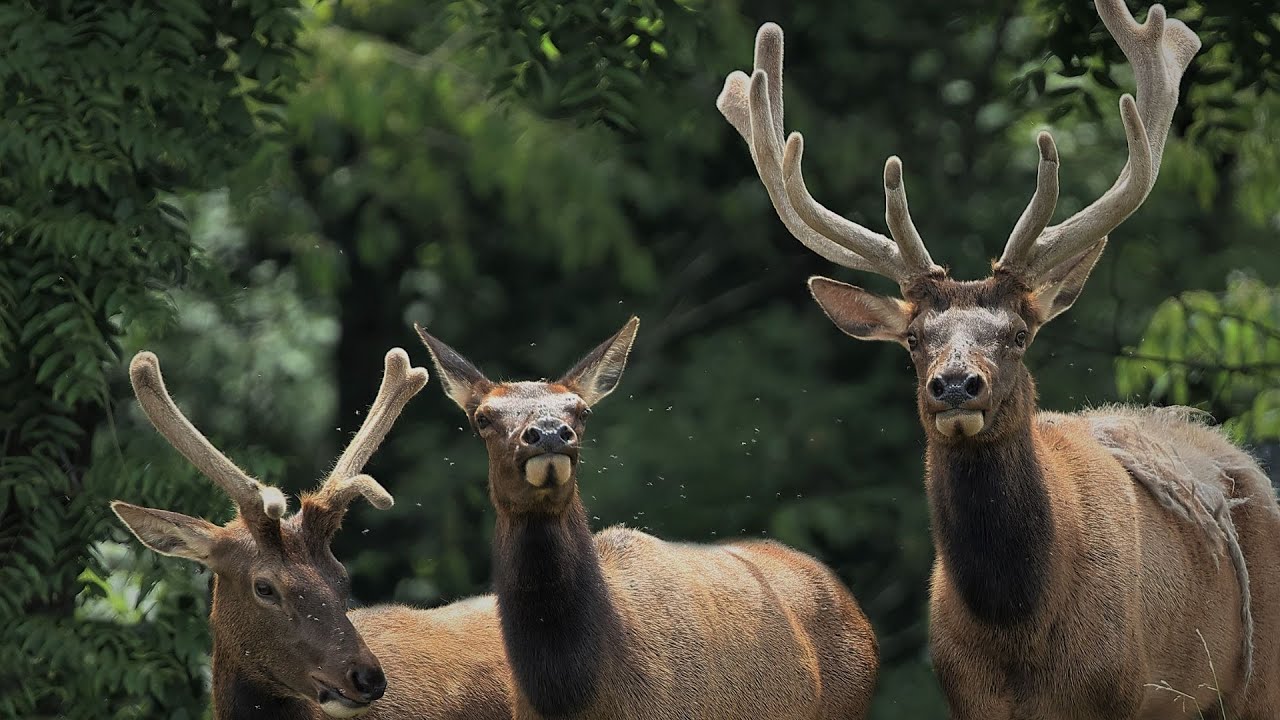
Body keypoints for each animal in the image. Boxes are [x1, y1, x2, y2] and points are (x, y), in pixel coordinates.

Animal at [718, 2, 1279, 719]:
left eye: (1017, 333)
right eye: (914, 339)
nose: (956, 385)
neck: (1018, 630)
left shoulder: (1125, 694)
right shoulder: (967, 696)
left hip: (1258, 680)